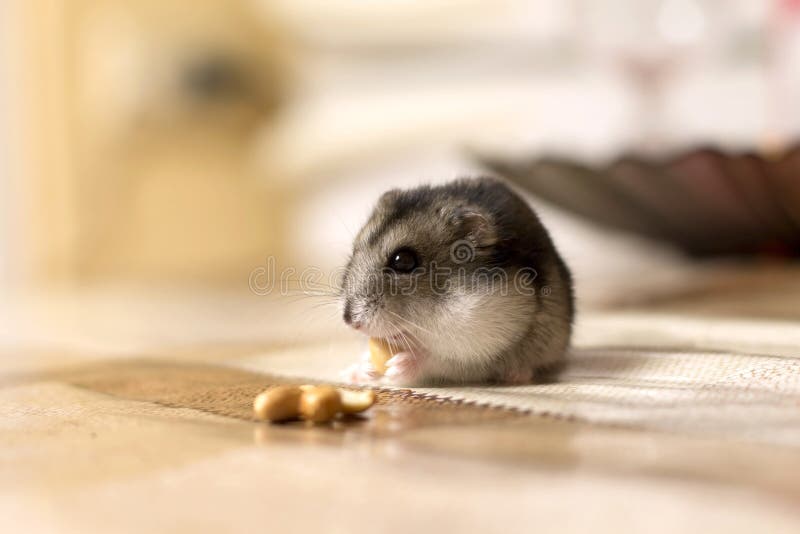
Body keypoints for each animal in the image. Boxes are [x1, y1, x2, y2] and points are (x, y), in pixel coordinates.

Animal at [339, 177, 574, 386]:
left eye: (403, 261)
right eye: (354, 250)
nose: (349, 320)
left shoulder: (481, 340)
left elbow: (442, 360)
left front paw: (399, 367)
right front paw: (360, 369)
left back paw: (517, 374)